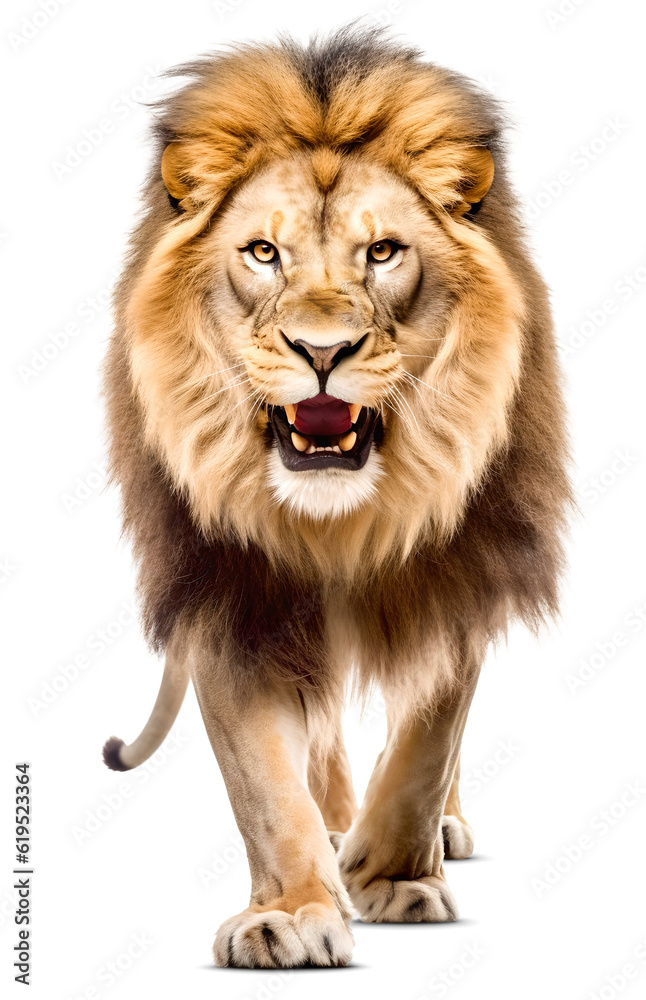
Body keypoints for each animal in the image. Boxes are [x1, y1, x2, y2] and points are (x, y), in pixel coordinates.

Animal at [101, 26, 572, 969]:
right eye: (263, 253)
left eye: (383, 252)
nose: (322, 351)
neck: (341, 526)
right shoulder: (228, 600)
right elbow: (265, 783)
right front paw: (289, 911)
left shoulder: (459, 579)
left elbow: (427, 744)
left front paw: (394, 877)